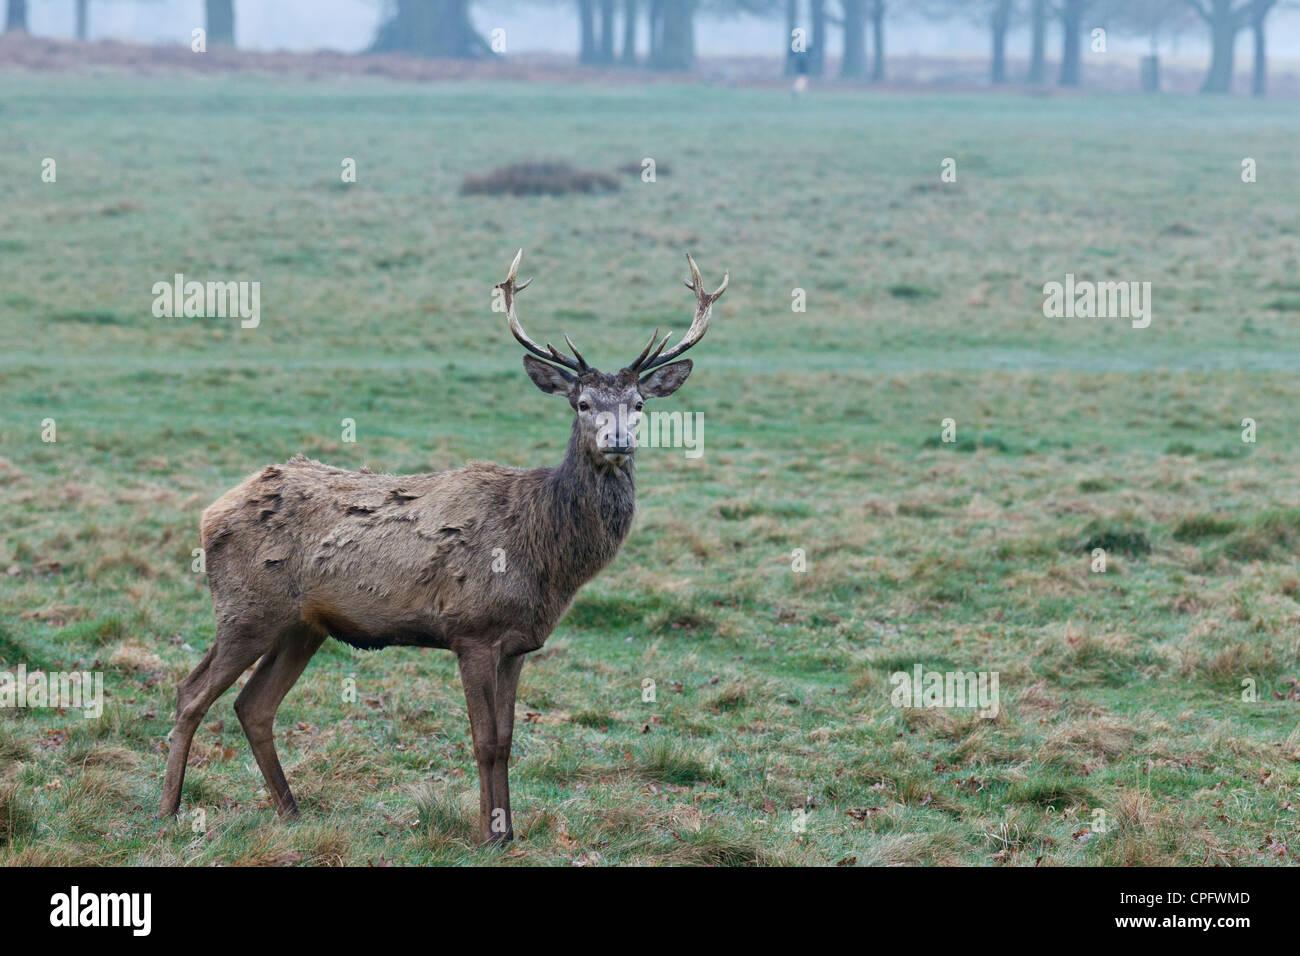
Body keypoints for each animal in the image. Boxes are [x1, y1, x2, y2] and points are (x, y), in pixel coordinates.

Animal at [159, 250, 728, 844]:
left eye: (639, 403)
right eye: (582, 402)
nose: (617, 440)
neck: (545, 552)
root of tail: (210, 513)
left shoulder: (518, 643)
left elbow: (508, 740)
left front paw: (508, 831)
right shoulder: (470, 629)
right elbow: (484, 740)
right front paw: (486, 834)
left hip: (301, 626)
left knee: (253, 705)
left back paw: (290, 811)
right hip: (246, 608)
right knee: (190, 692)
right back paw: (170, 810)